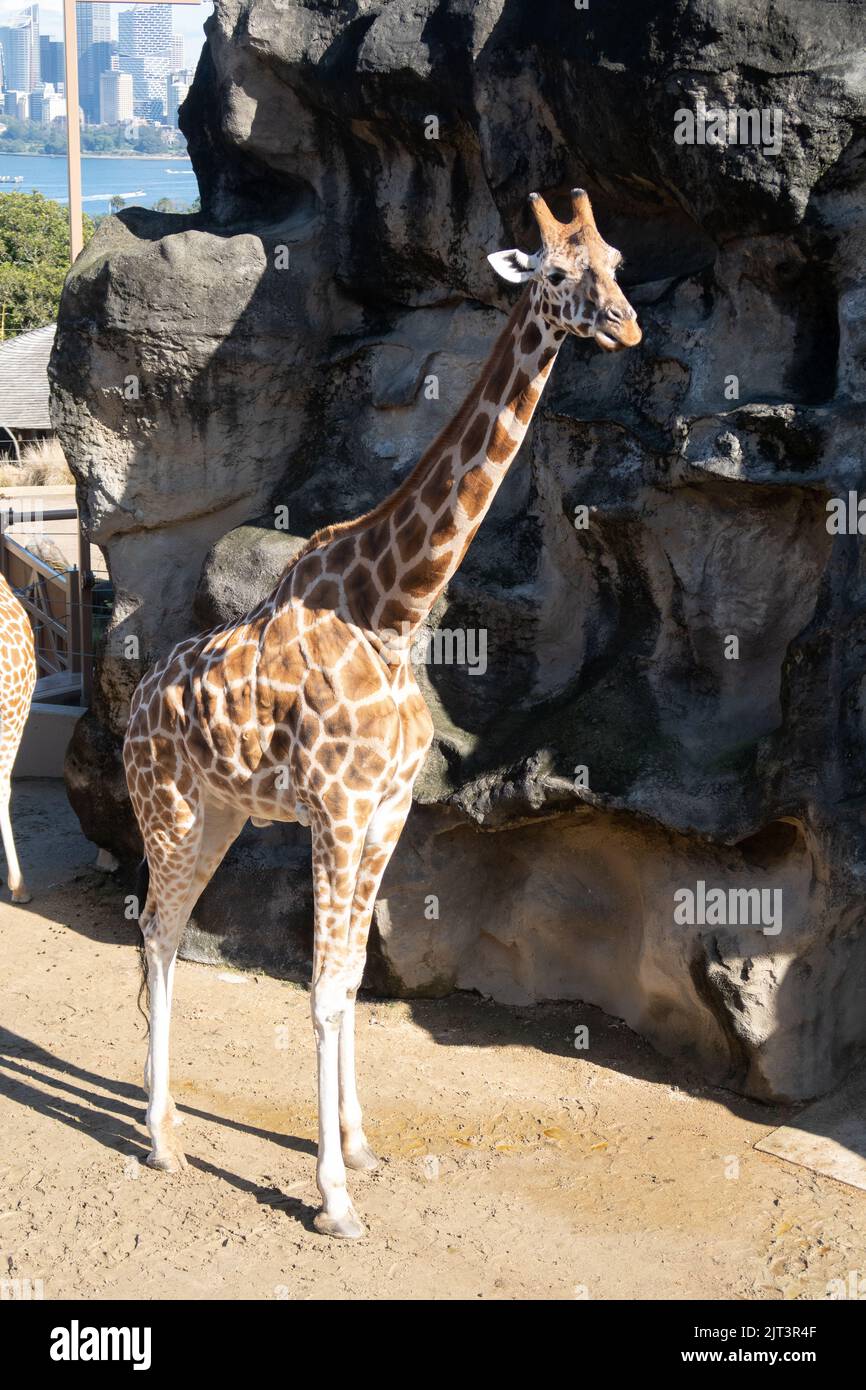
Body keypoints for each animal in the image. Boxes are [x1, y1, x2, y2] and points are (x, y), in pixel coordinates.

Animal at [123, 189, 642, 1238]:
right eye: (557, 273)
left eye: (613, 258)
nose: (628, 324)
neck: (394, 613)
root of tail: (131, 710)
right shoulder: (337, 810)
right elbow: (324, 990)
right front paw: (333, 1199)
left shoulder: (390, 810)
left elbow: (357, 974)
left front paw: (358, 1147)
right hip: (172, 813)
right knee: (155, 932)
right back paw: (159, 1140)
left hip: (223, 817)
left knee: (169, 930)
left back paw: (169, 1126)